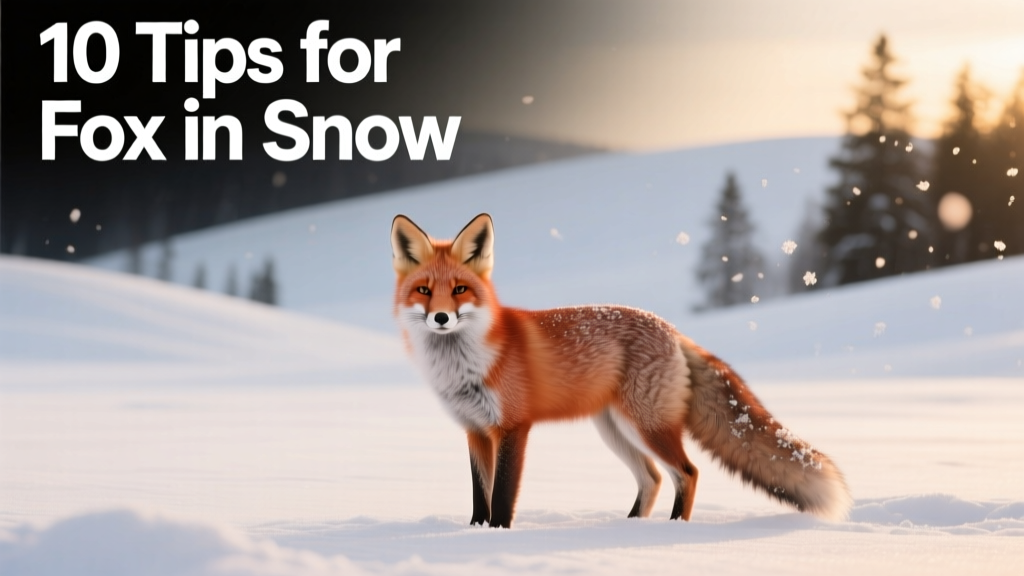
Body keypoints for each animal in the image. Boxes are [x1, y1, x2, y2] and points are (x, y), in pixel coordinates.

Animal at [391, 213, 852, 528]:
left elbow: (501, 497)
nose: (441, 319)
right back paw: (629, 529)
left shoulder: (513, 427)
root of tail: (673, 330)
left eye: (460, 290)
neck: (464, 366)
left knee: (687, 473)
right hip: (615, 430)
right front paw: (474, 534)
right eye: (424, 291)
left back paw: (670, 532)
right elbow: (479, 498)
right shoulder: (474, 430)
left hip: (646, 425)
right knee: (653, 479)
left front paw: (498, 536)